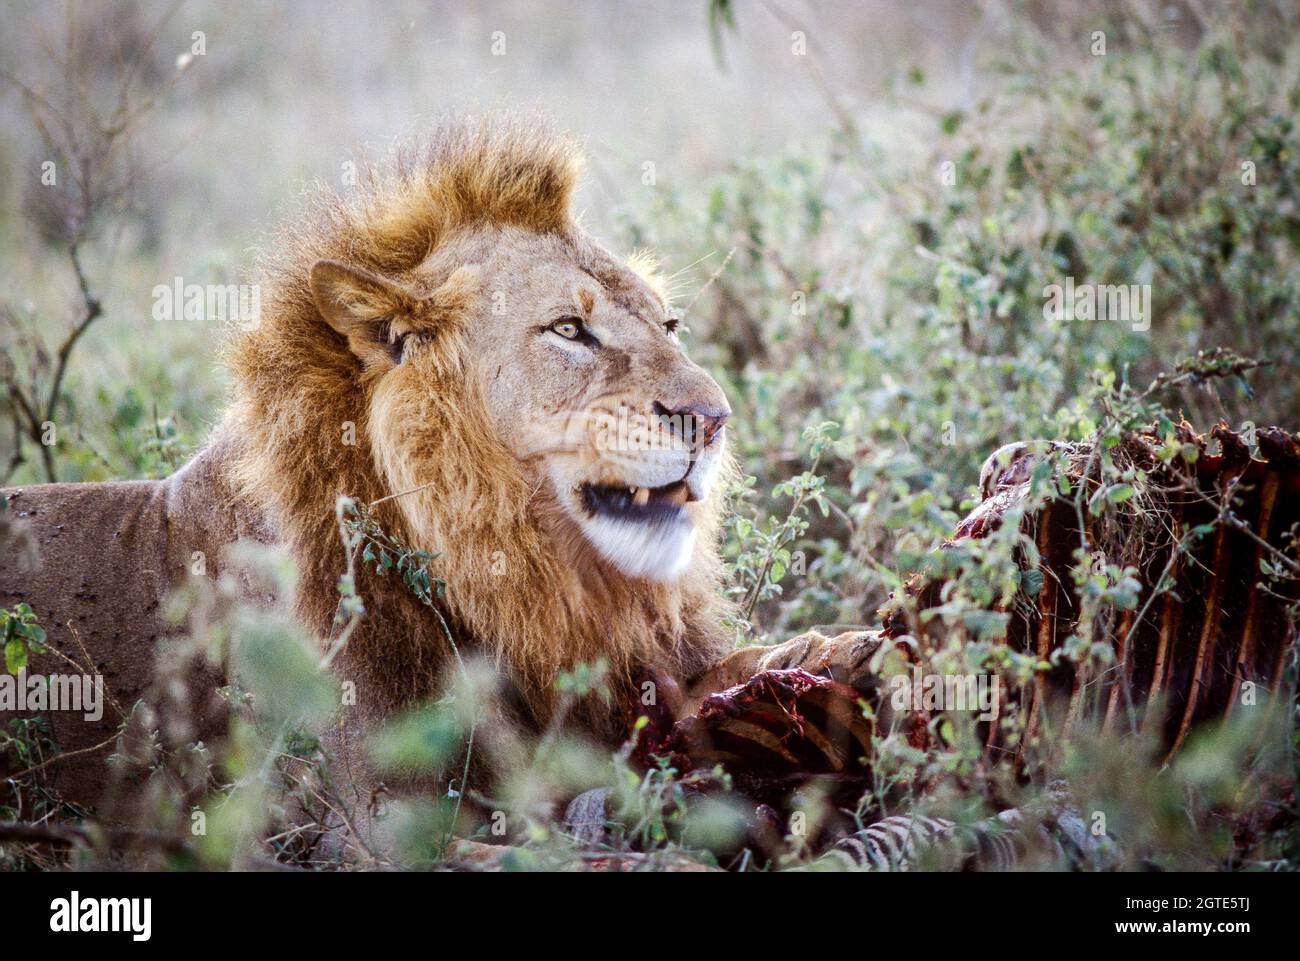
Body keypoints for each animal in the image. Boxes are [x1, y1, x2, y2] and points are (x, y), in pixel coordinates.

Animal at [0, 117, 876, 840]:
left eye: (670, 325)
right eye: (569, 329)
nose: (714, 417)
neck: (516, 571)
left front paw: (842, 653)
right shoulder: (377, 822)